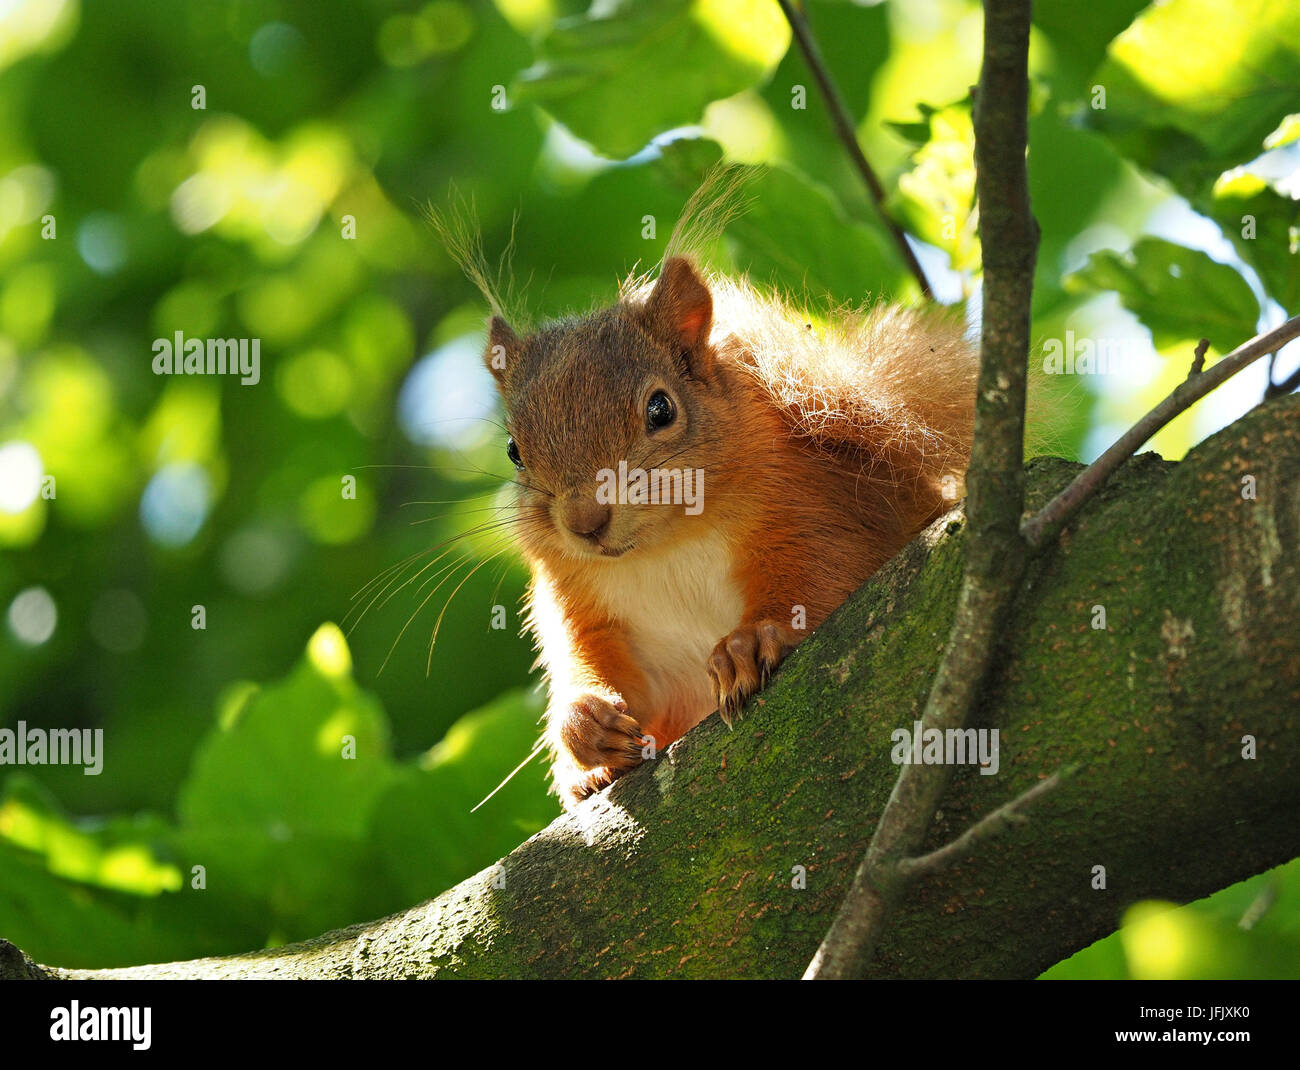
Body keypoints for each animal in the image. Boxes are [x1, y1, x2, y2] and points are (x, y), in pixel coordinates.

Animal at [437, 178, 977, 809]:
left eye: (661, 409)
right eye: (513, 451)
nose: (585, 522)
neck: (668, 546)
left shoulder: (816, 506)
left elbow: (825, 575)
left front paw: (749, 642)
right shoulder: (584, 607)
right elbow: (601, 670)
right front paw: (586, 723)